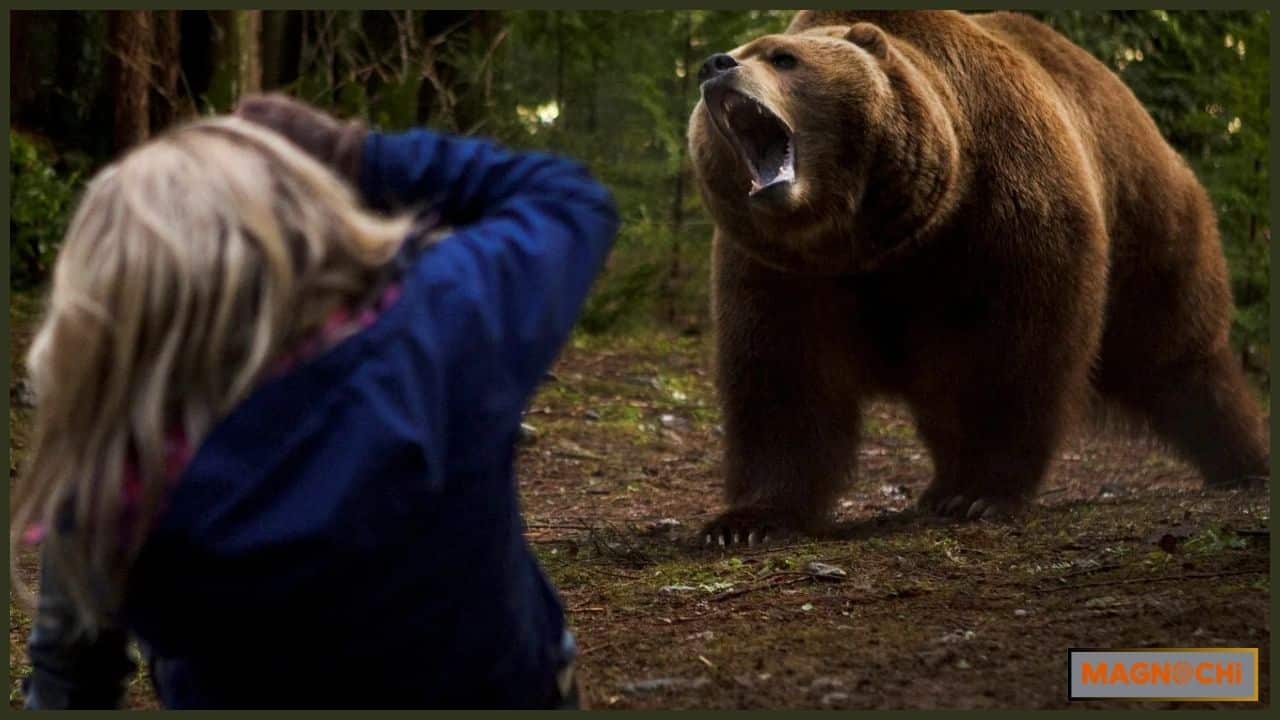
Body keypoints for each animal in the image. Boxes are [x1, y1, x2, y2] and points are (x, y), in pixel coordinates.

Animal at [687, 9, 1269, 546]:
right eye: (742, 50)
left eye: (783, 57)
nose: (715, 66)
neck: (871, 238)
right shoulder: (781, 271)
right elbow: (782, 381)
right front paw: (745, 521)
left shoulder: (1003, 215)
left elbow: (1012, 356)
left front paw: (982, 494)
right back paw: (938, 486)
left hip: (1147, 223)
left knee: (1179, 356)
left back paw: (1244, 462)